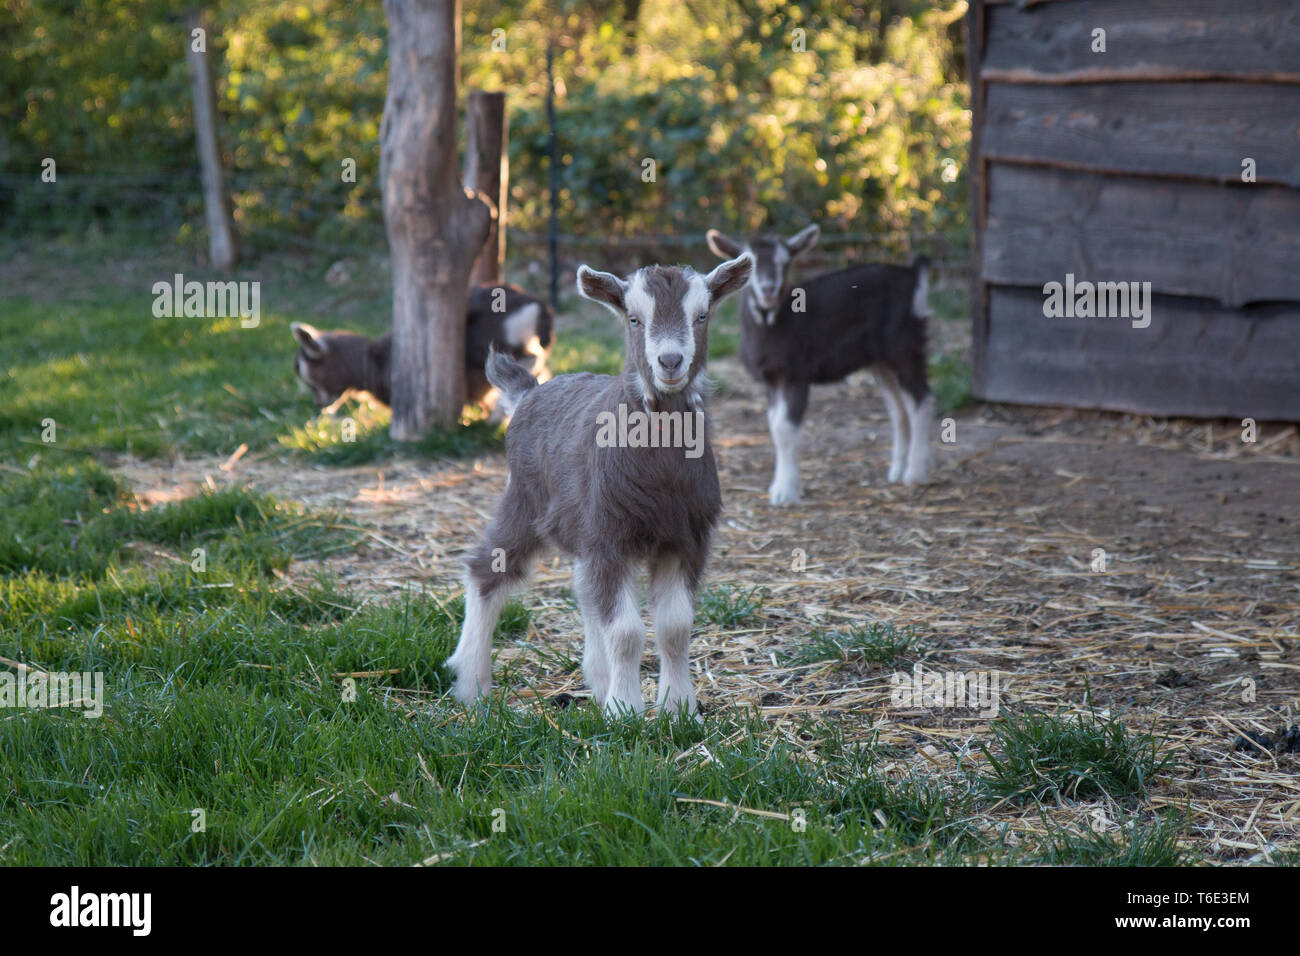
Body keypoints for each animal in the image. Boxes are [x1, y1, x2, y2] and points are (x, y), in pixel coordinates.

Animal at [290, 284, 552, 412]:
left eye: (309, 376)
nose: (319, 404)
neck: (375, 361)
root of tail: (537, 305)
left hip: (508, 342)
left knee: (532, 359)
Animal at [447, 253, 754, 716]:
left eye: (702, 315)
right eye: (634, 318)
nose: (670, 361)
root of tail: (529, 392)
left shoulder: (686, 538)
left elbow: (675, 627)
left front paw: (679, 710)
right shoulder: (610, 535)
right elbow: (626, 631)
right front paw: (625, 711)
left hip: (580, 525)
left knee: (586, 591)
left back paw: (597, 679)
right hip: (524, 499)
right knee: (486, 572)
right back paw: (472, 685)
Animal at [706, 225, 933, 503]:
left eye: (785, 262)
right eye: (753, 263)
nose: (769, 289)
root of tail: (912, 276)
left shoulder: (796, 374)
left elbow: (784, 428)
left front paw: (785, 492)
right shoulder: (772, 380)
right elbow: (773, 424)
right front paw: (781, 485)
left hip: (904, 347)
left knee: (921, 399)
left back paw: (915, 473)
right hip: (881, 361)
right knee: (898, 407)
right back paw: (897, 471)